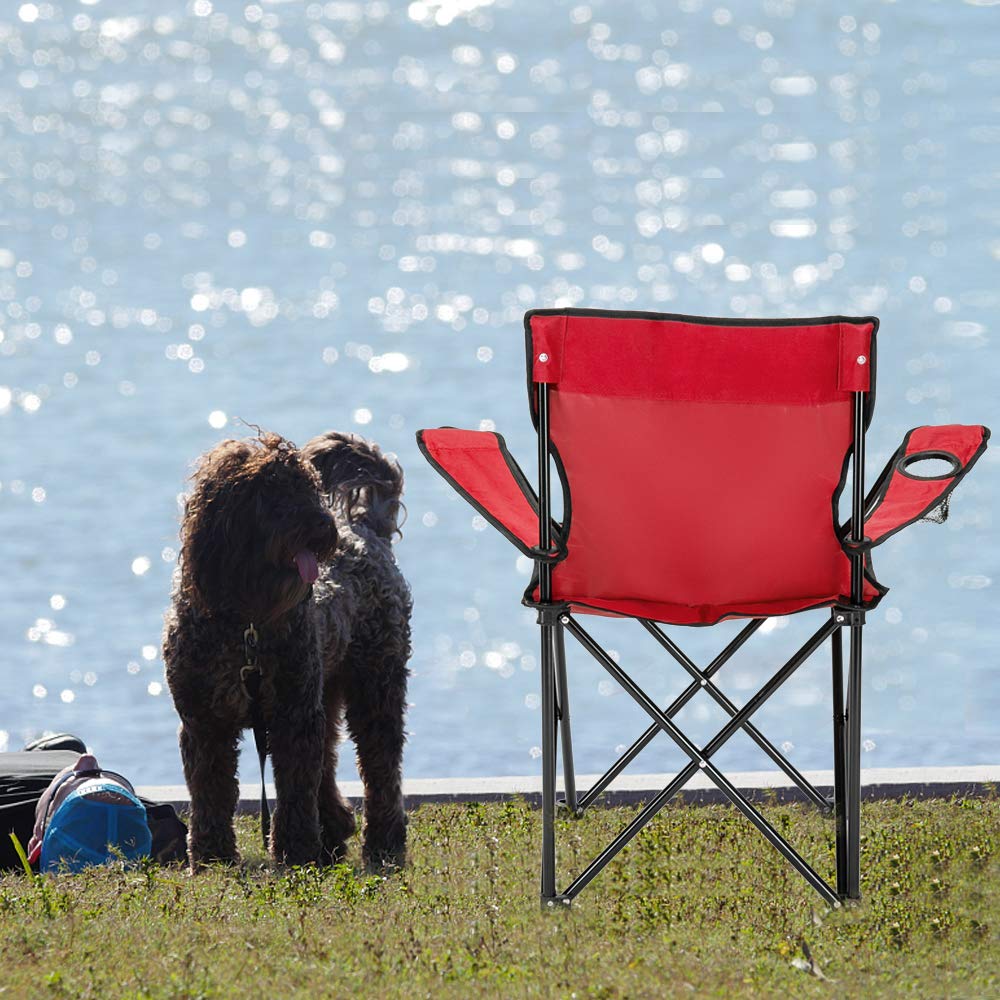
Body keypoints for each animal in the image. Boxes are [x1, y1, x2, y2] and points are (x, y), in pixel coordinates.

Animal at [163, 434, 410, 872]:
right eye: (272, 493)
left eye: (309, 487)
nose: (323, 525)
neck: (246, 620)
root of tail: (364, 528)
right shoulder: (205, 723)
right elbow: (210, 791)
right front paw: (211, 856)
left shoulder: (291, 716)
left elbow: (294, 787)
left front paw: (295, 851)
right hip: (324, 693)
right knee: (327, 761)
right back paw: (333, 833)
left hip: (374, 688)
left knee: (380, 769)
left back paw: (382, 843)